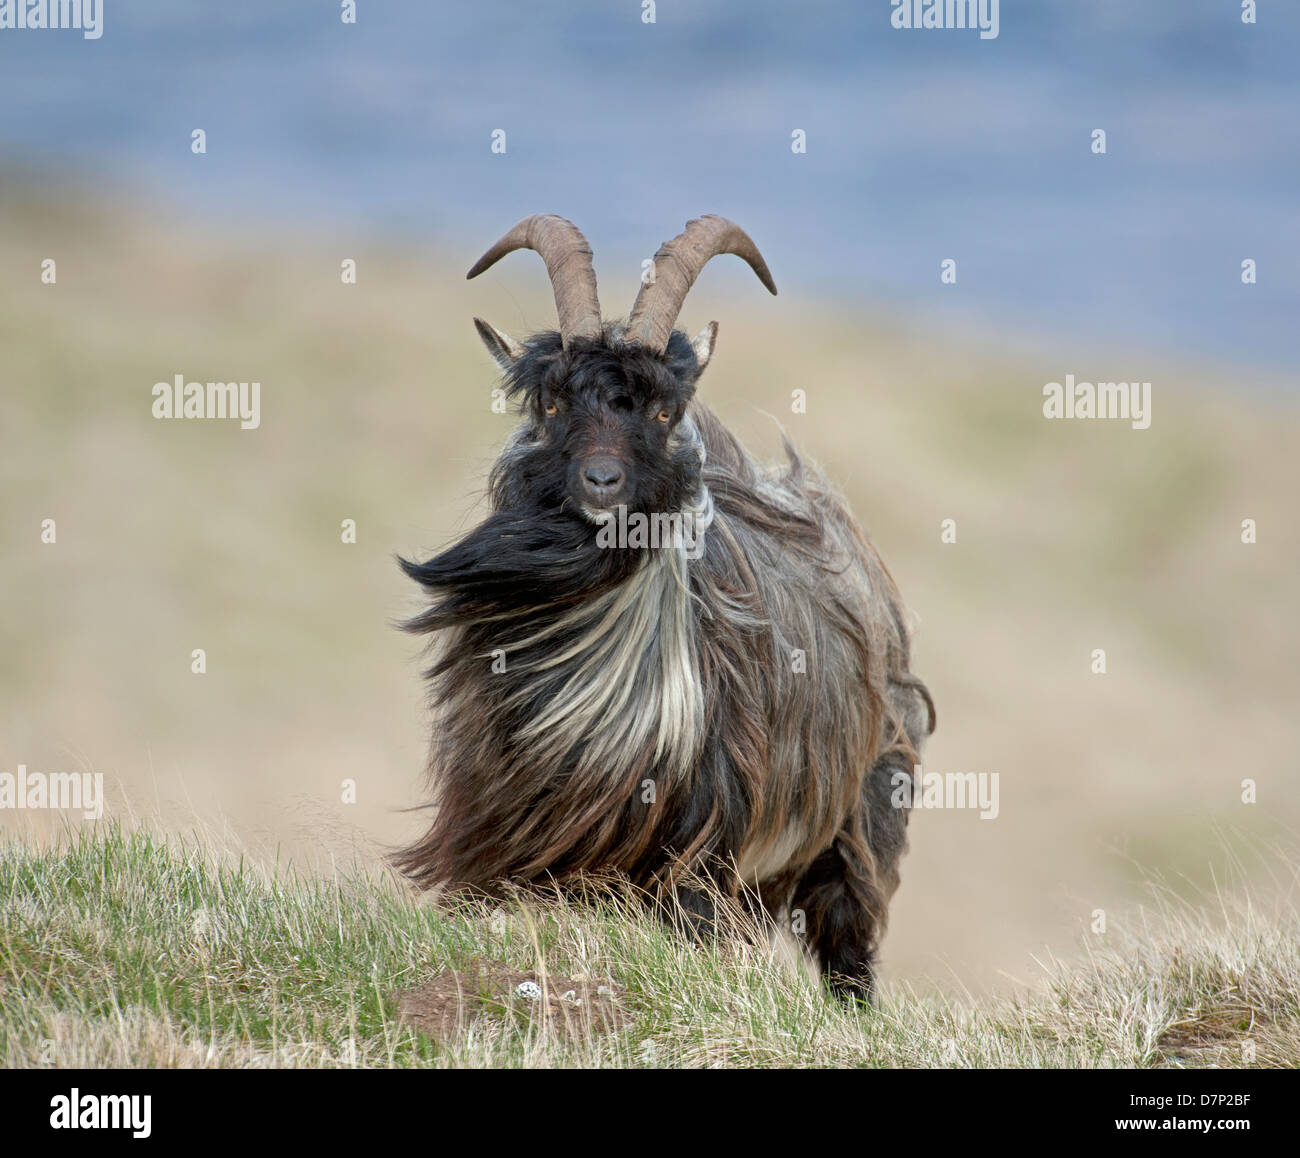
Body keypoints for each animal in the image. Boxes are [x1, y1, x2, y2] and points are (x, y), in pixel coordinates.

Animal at [398, 214, 934, 1001]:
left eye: (661, 409)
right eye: (551, 403)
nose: (601, 480)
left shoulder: (701, 845)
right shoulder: (498, 817)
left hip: (859, 823)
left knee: (848, 940)